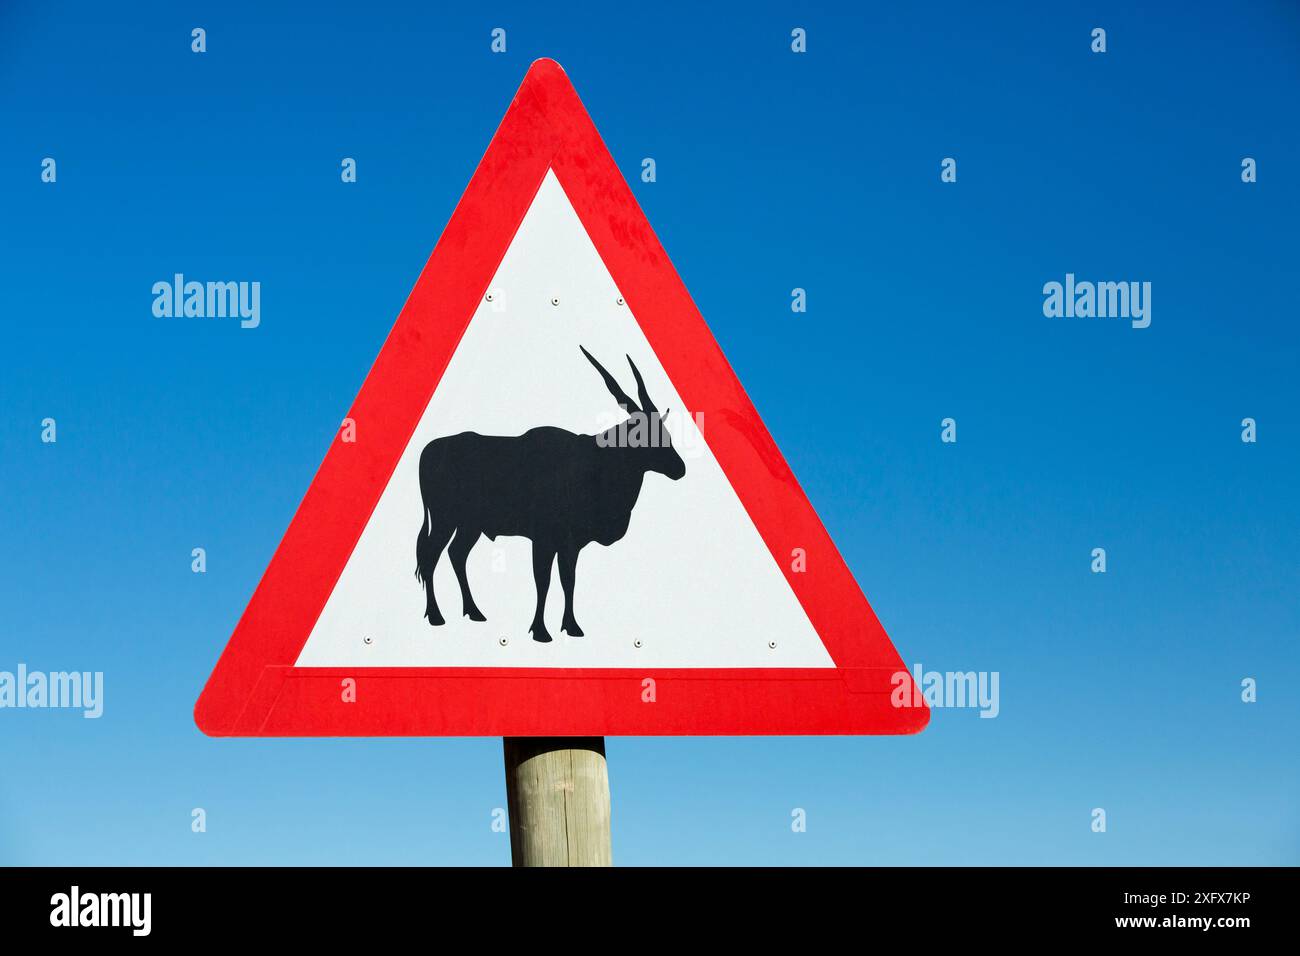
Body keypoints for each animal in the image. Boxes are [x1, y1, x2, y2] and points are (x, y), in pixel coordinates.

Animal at [415, 345, 685, 642]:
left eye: (665, 432)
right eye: (644, 436)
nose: (680, 468)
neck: (594, 464)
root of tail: (427, 451)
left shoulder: (570, 543)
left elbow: (568, 580)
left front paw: (572, 626)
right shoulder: (543, 539)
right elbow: (543, 580)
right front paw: (541, 630)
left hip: (469, 526)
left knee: (456, 554)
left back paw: (474, 611)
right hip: (445, 520)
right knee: (430, 556)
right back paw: (436, 616)